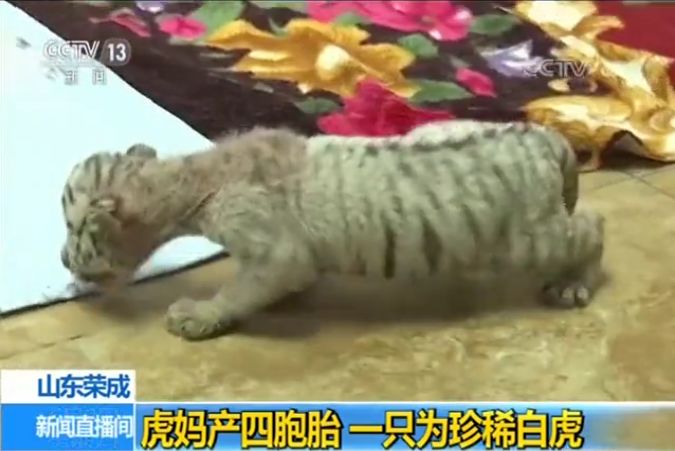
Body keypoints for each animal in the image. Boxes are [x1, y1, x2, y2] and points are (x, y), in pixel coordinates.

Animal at [60, 120, 605, 341]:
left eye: (72, 228)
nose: (63, 260)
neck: (191, 177)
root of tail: (543, 137)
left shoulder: (277, 251)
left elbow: (238, 291)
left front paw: (198, 316)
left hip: (527, 239)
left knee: (592, 226)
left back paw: (575, 282)